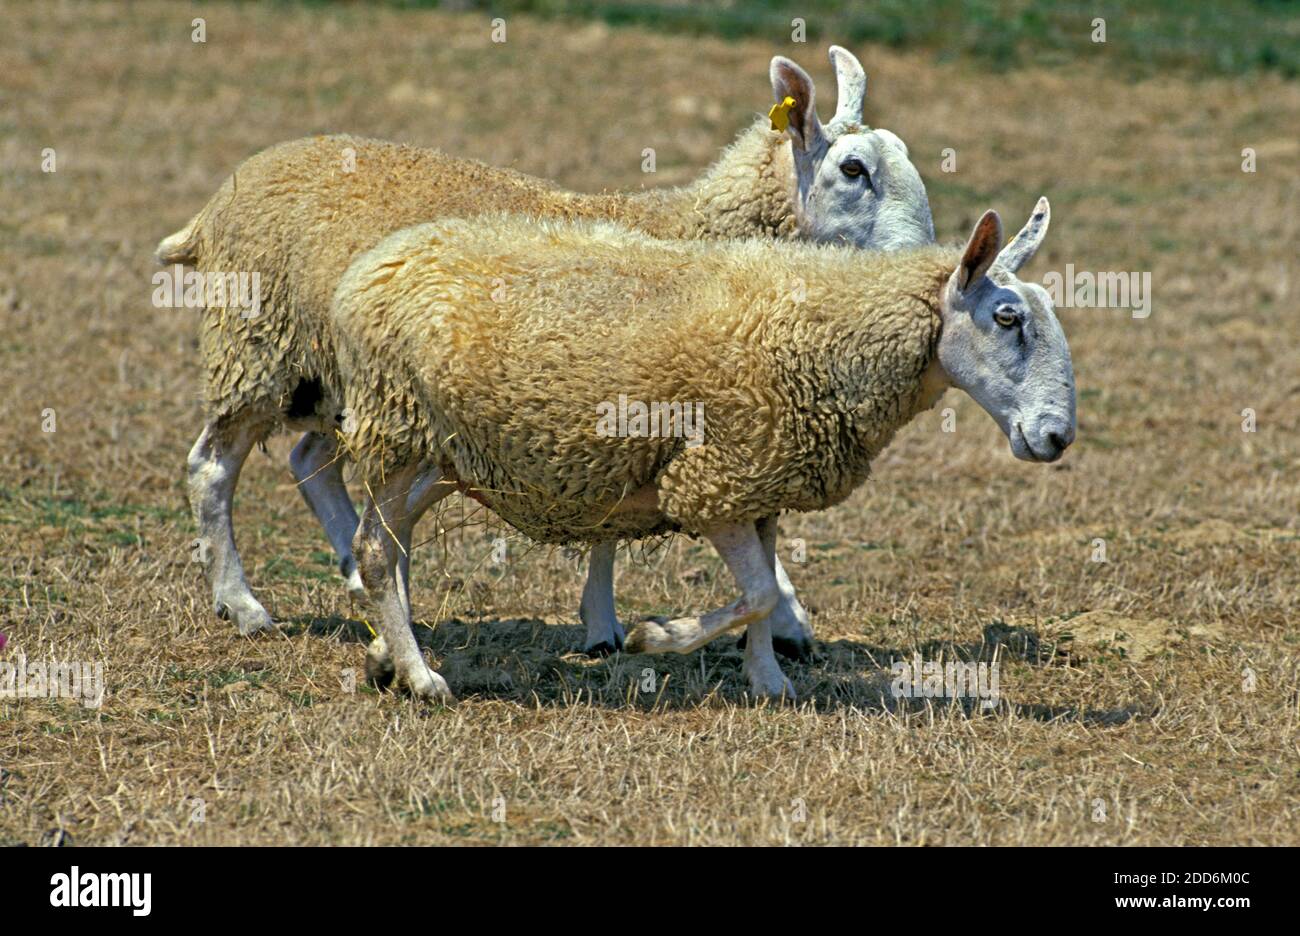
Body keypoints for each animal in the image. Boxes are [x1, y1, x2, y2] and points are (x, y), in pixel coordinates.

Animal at [159, 46, 936, 658]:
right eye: (854, 170)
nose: (930, 265)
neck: (687, 227)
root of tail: (221, 201)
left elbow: (609, 523)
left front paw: (604, 622)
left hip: (342, 384)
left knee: (309, 461)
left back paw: (359, 575)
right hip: (261, 351)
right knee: (211, 467)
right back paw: (244, 604)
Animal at [330, 198, 1074, 702]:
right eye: (1008, 318)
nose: (1057, 436)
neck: (833, 336)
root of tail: (366, 270)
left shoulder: (763, 480)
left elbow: (767, 589)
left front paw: (768, 679)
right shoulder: (715, 477)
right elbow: (759, 592)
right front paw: (655, 636)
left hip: (445, 450)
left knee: (391, 540)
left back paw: (387, 655)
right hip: (399, 425)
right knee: (374, 548)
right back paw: (420, 675)